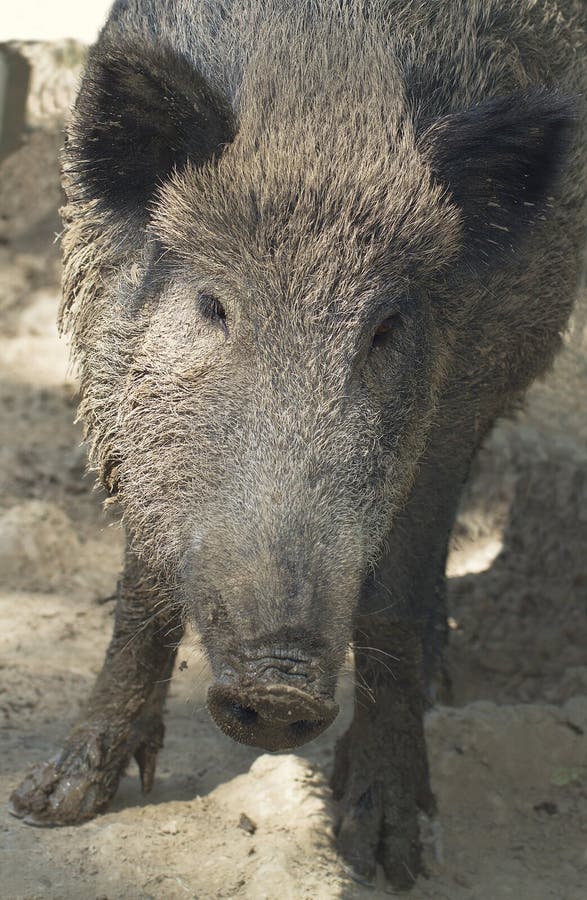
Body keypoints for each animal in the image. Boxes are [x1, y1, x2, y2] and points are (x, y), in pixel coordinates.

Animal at [10, 0, 586, 889]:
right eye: (213, 304)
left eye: (384, 327)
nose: (281, 691)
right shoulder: (115, 383)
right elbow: (142, 584)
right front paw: (50, 806)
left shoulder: (458, 396)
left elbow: (392, 597)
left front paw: (389, 861)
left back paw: (441, 687)